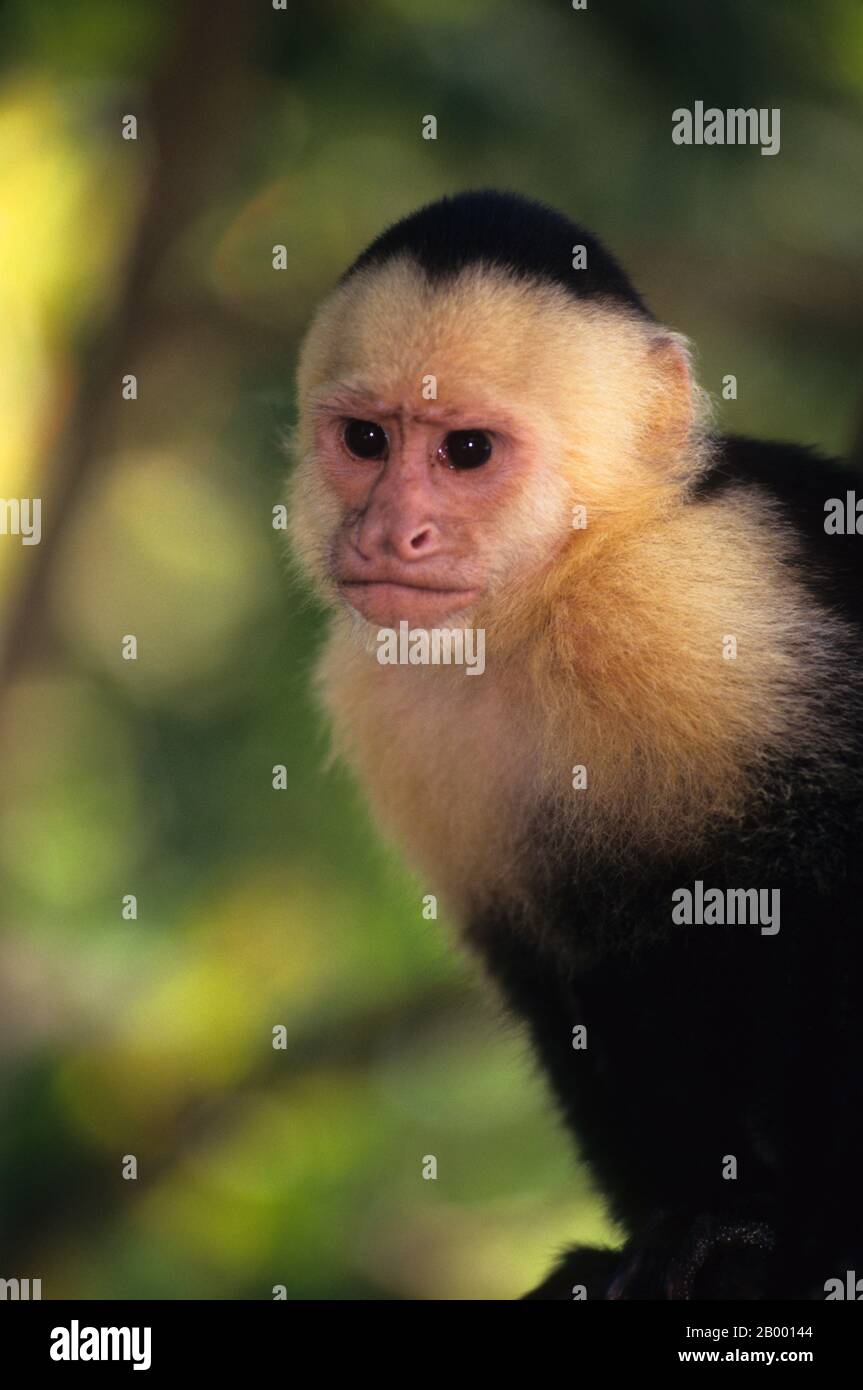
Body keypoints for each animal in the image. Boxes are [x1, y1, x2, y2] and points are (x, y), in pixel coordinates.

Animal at [289, 189, 863, 1300]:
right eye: (367, 439)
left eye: (466, 451)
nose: (389, 534)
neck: (549, 595)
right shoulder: (385, 709)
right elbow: (562, 982)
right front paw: (678, 1233)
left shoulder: (704, 600)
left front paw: (796, 1242)